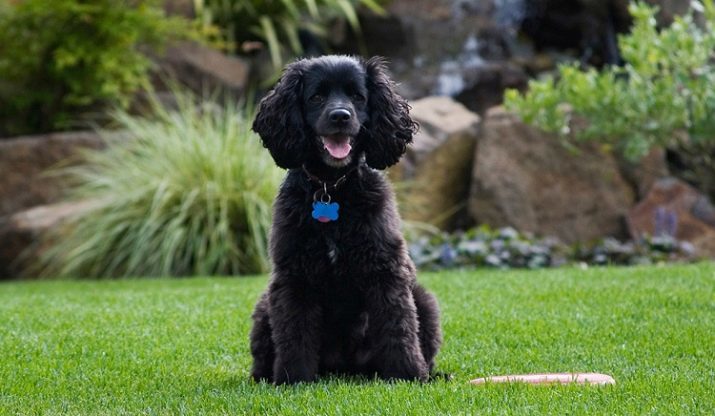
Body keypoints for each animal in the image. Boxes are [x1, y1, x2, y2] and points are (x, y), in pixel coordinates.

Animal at [250, 55, 442, 384]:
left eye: (357, 96)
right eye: (316, 97)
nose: (340, 116)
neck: (332, 188)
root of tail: (345, 368)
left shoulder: (386, 270)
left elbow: (399, 327)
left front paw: (406, 374)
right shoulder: (293, 276)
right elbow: (294, 331)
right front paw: (293, 378)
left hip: (424, 301)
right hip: (264, 307)